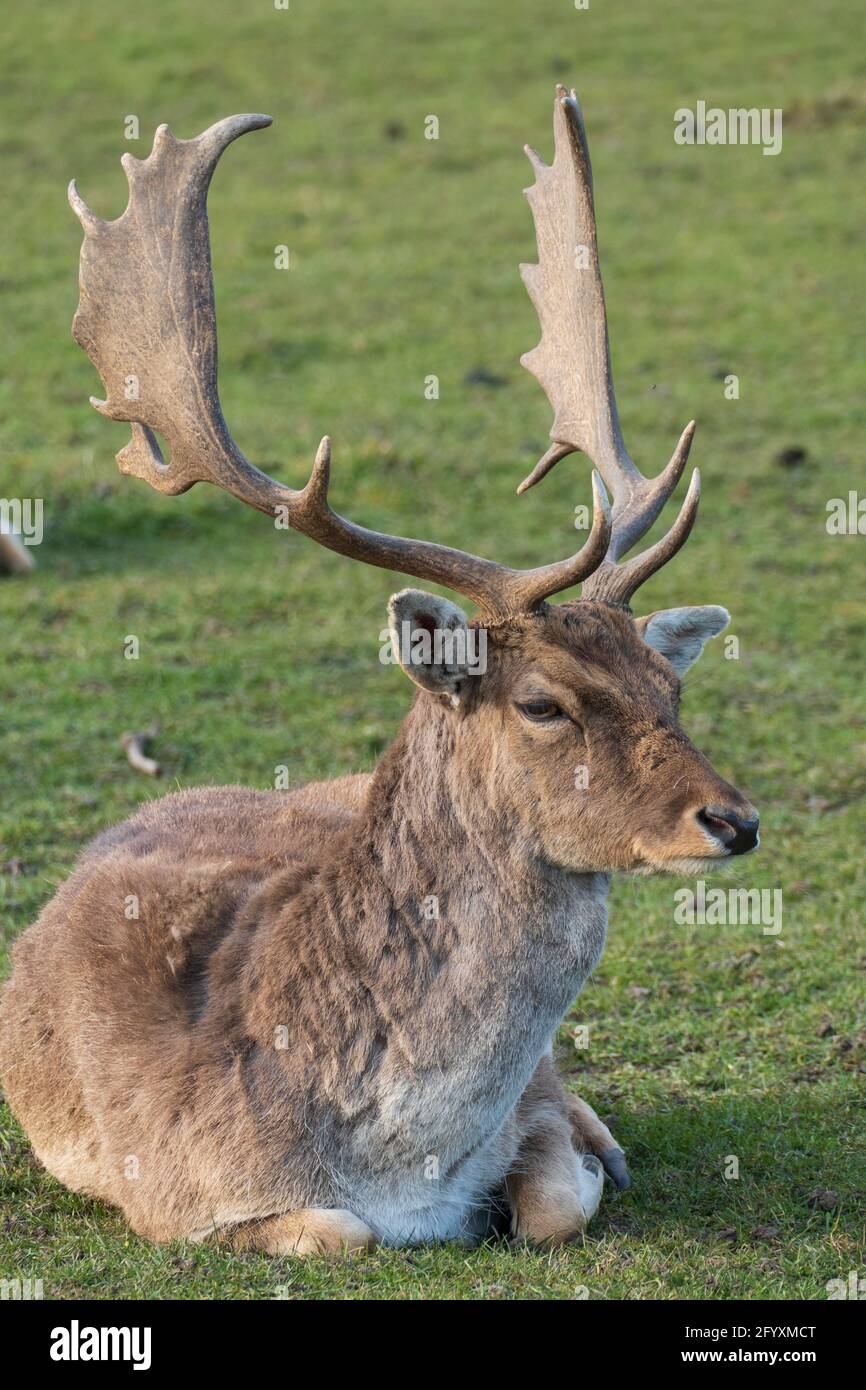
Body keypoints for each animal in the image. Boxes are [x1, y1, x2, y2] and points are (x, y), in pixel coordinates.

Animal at [0, 92, 756, 1256]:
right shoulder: (175, 1198)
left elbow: (550, 1202)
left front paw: (589, 1157)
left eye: (667, 686)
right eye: (542, 703)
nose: (732, 819)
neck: (402, 1164)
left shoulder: (527, 1123)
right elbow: (340, 1231)